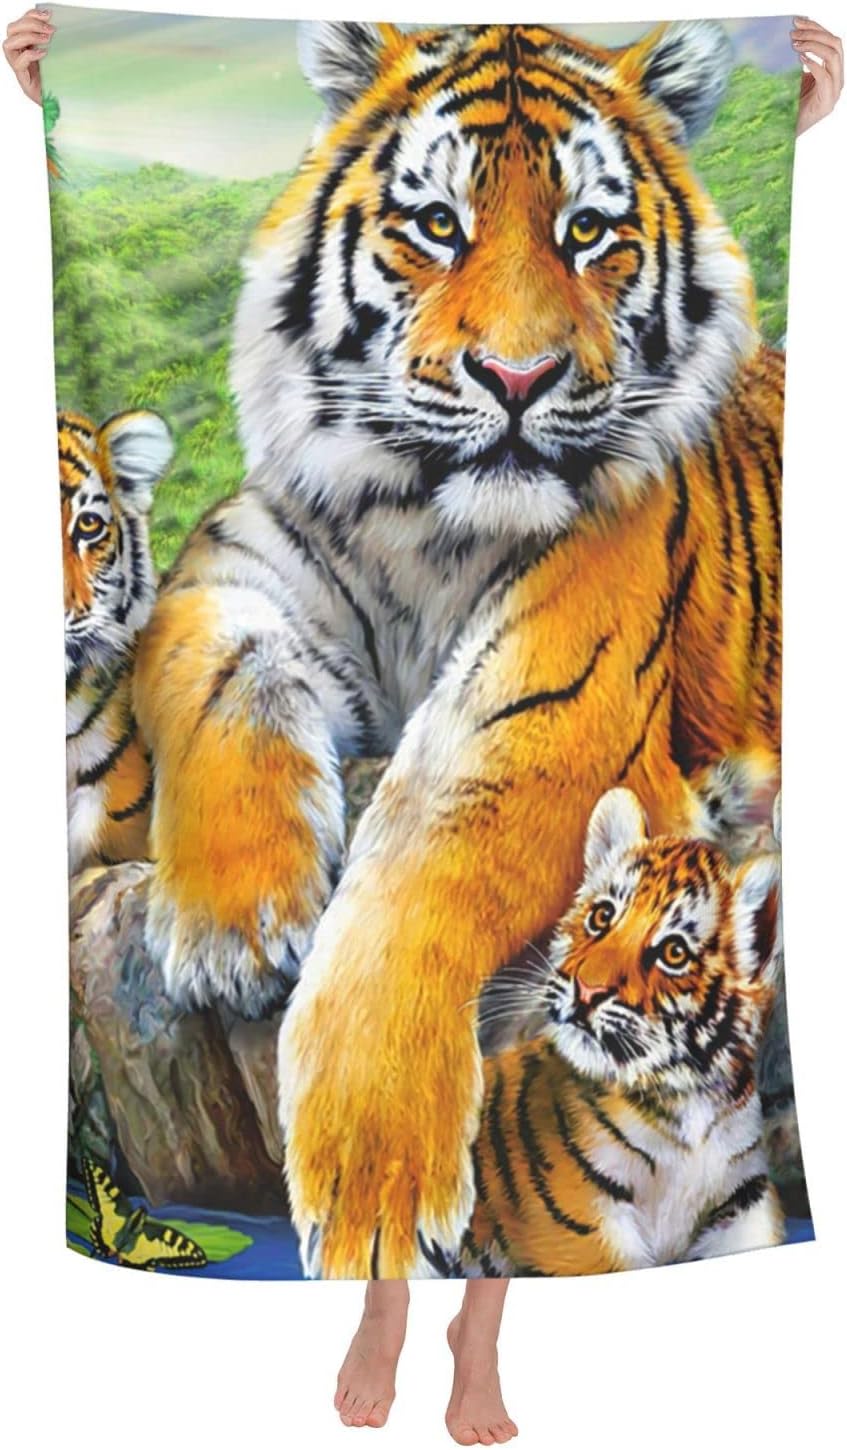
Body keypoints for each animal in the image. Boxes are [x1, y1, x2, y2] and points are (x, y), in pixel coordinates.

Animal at [425, 787, 784, 1278]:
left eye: (674, 952)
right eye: (602, 916)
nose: (587, 989)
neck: (687, 1110)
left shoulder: (746, 1204)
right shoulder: (582, 1233)